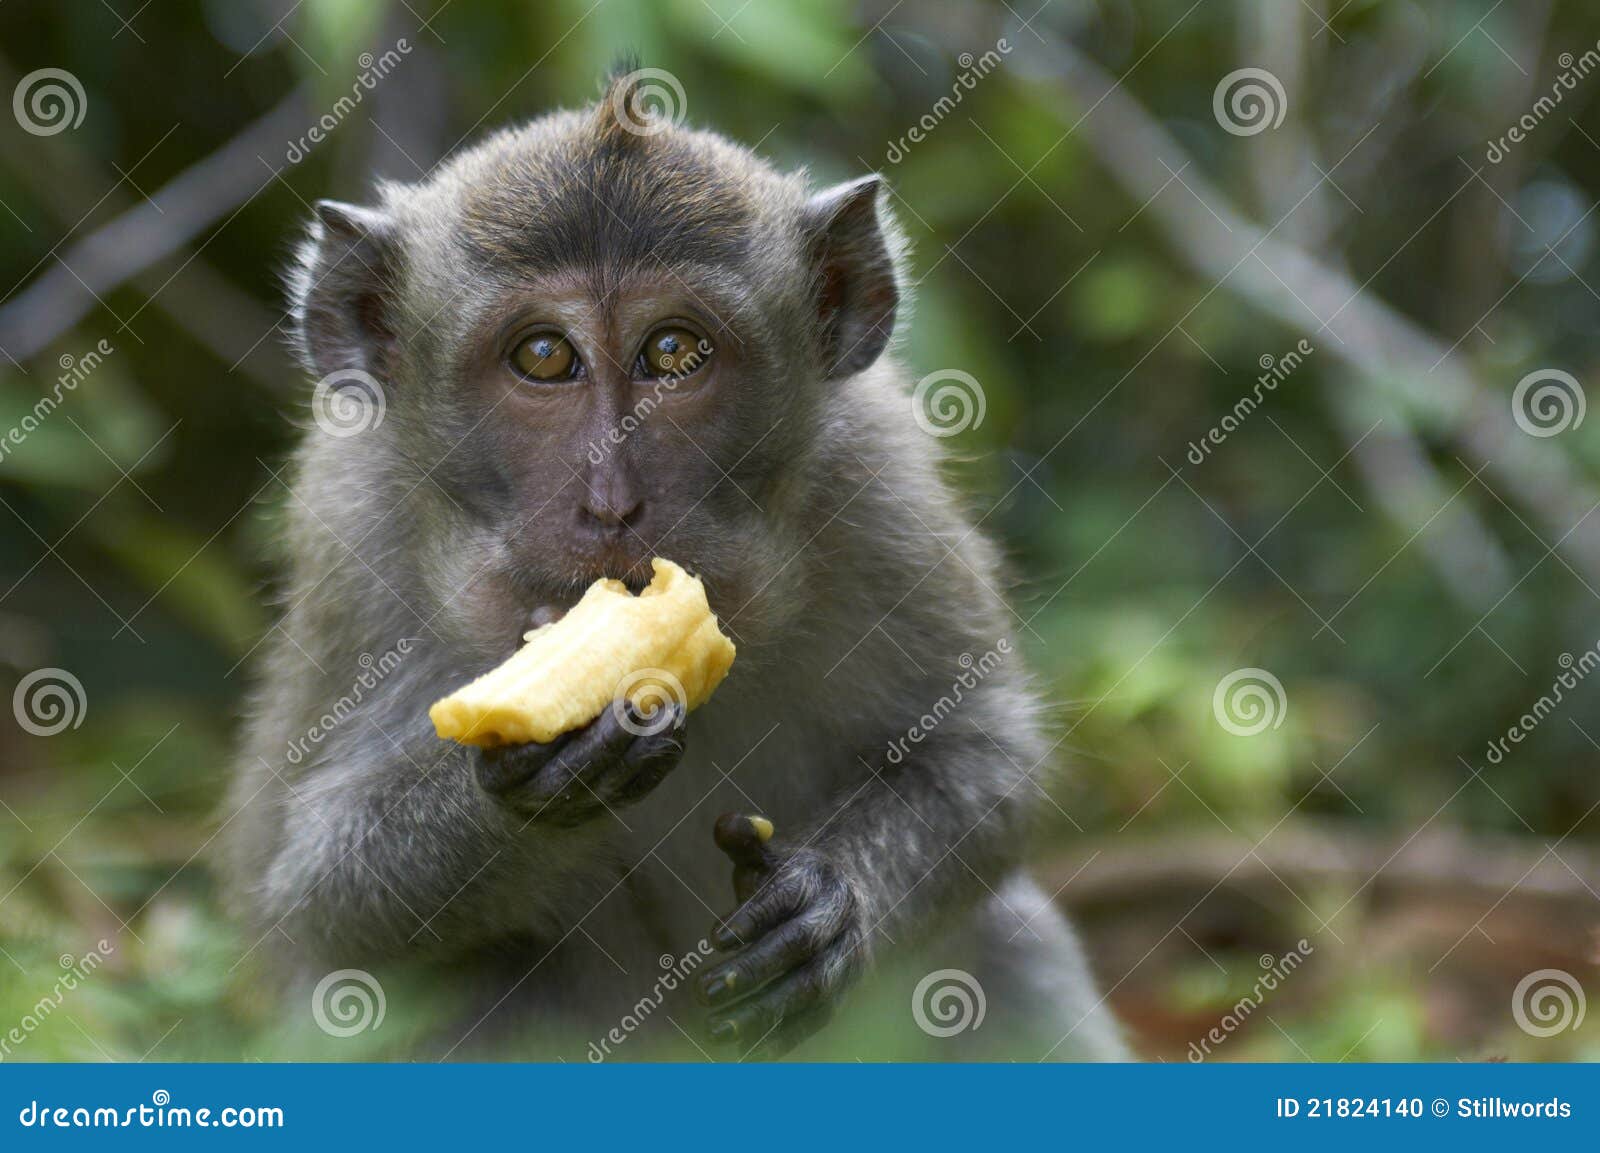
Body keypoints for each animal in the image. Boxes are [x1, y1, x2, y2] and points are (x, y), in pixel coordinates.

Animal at [222, 68, 1128, 1061]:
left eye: (673, 352)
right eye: (544, 356)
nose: (613, 503)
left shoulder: (877, 481)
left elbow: (981, 757)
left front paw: (825, 904)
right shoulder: (355, 536)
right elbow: (313, 895)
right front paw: (531, 783)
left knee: (1008, 941)